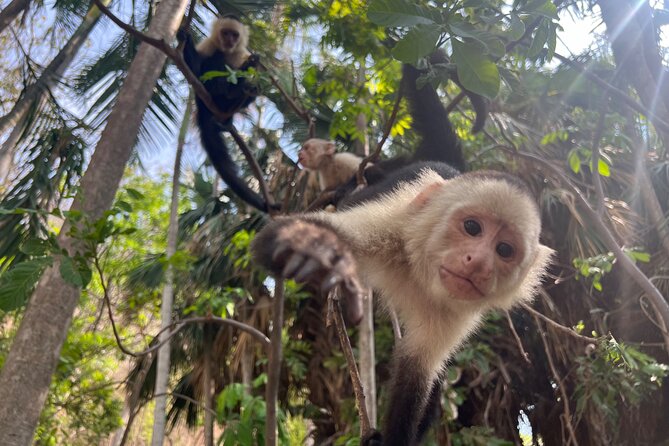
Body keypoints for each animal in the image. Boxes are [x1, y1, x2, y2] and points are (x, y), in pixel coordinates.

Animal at [178, 15, 270, 212]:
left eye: (235, 35)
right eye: (225, 33)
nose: (229, 40)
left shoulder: (242, 52)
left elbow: (252, 72)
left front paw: (250, 65)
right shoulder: (209, 45)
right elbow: (197, 69)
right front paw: (184, 36)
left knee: (251, 90)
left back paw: (234, 100)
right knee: (214, 63)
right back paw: (219, 89)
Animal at [251, 162, 553, 445]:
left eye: (504, 250)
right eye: (472, 227)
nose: (478, 262)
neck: (421, 274)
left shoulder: (456, 310)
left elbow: (417, 374)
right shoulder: (392, 227)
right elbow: (274, 235)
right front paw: (314, 249)